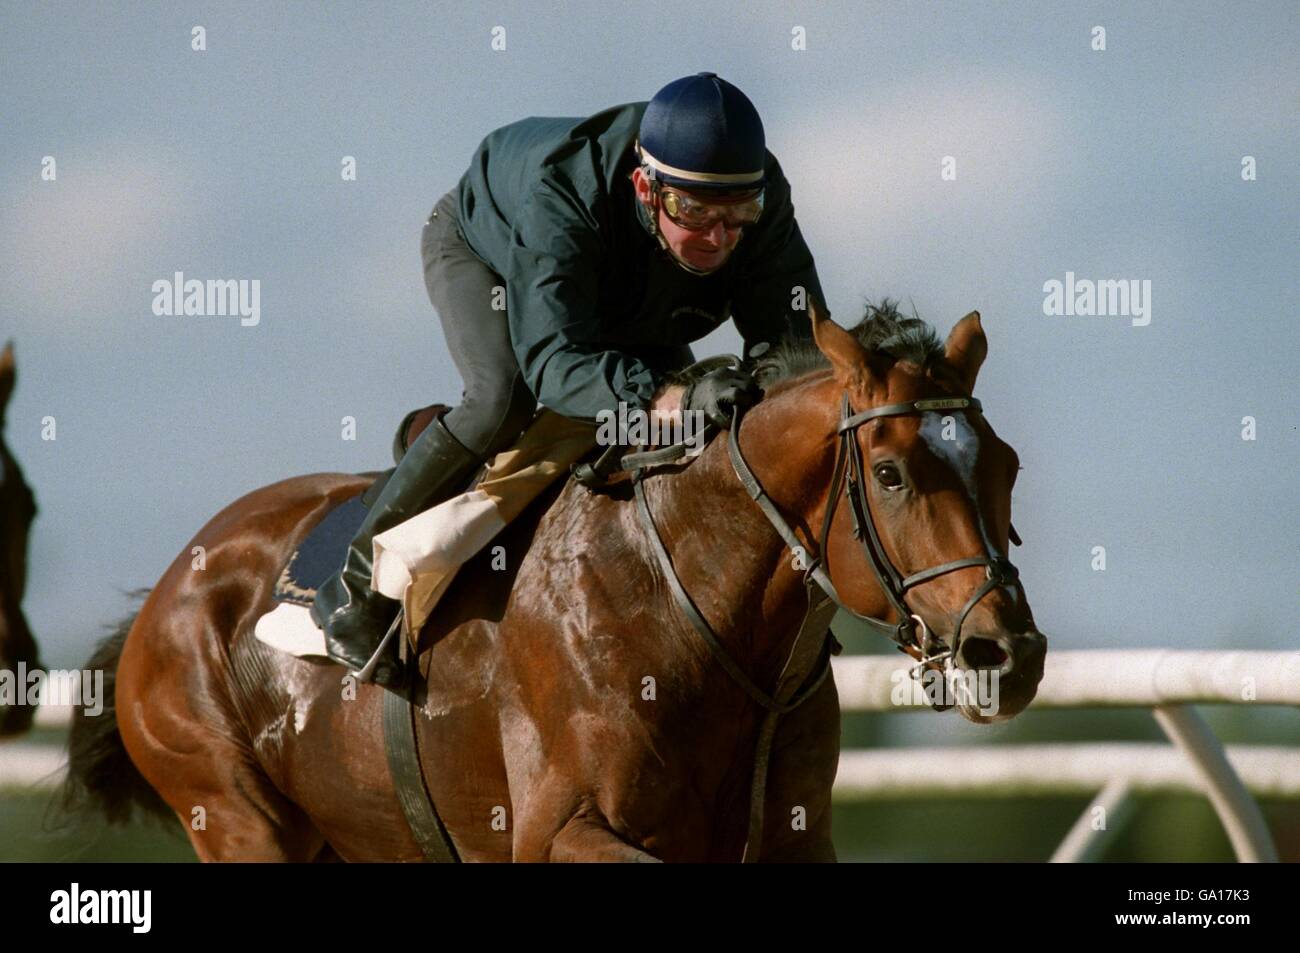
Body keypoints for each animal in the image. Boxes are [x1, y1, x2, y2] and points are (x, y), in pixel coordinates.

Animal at [61, 303, 1046, 861]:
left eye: (1007, 463)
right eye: (891, 473)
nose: (1009, 652)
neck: (687, 595)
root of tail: (169, 588)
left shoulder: (792, 838)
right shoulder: (558, 830)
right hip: (233, 812)